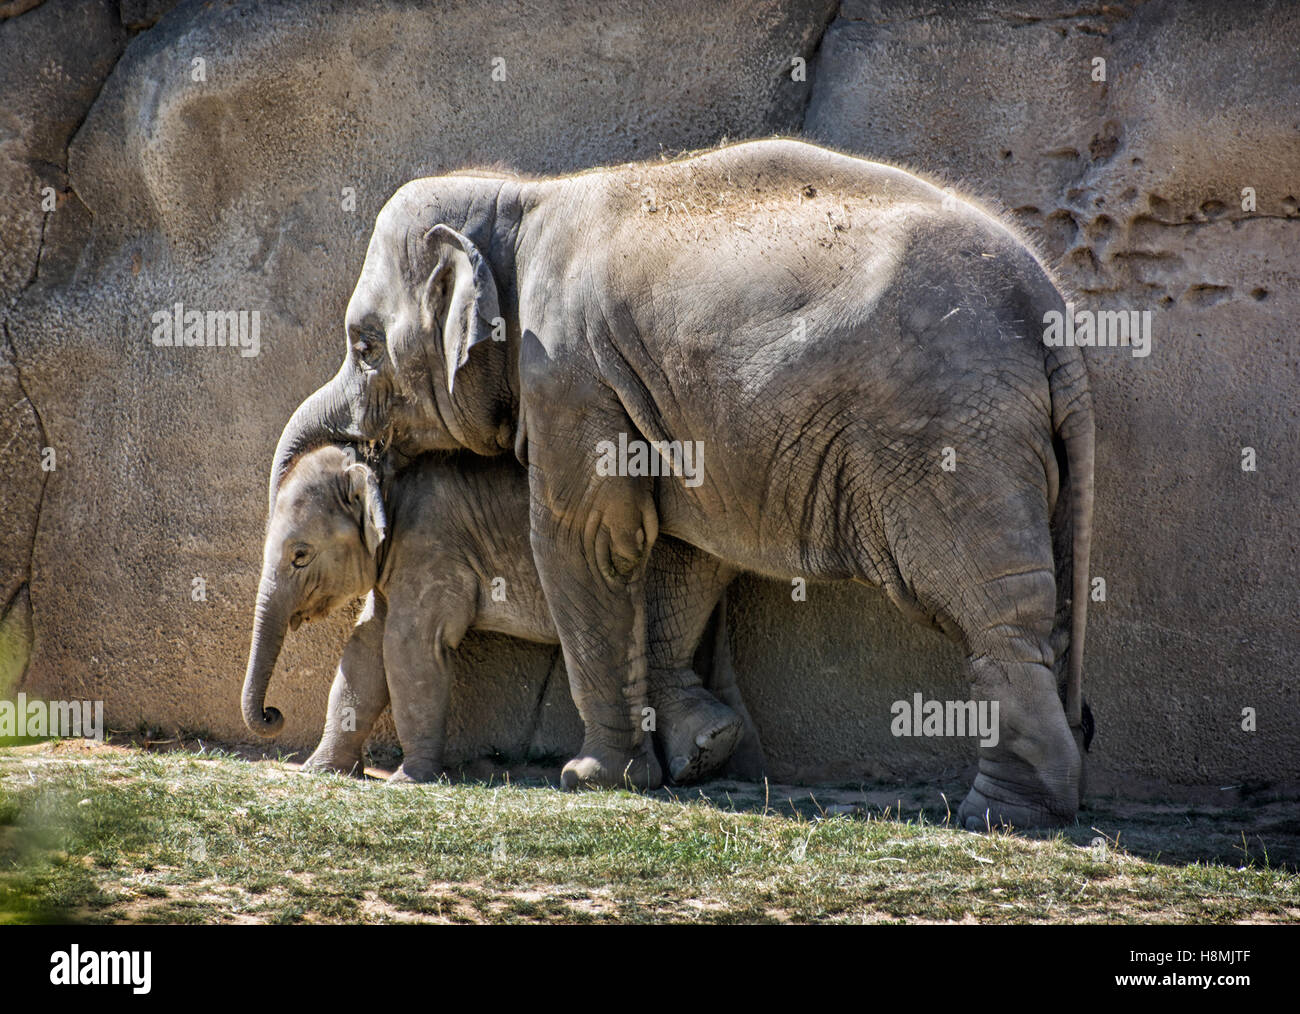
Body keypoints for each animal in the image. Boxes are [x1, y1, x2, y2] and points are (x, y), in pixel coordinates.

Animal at [240, 442, 766, 784]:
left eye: (300, 555)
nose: (273, 713)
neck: (380, 472)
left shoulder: (432, 546)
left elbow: (409, 647)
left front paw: (409, 781)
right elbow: (365, 648)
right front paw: (320, 773)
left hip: (671, 560)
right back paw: (705, 755)